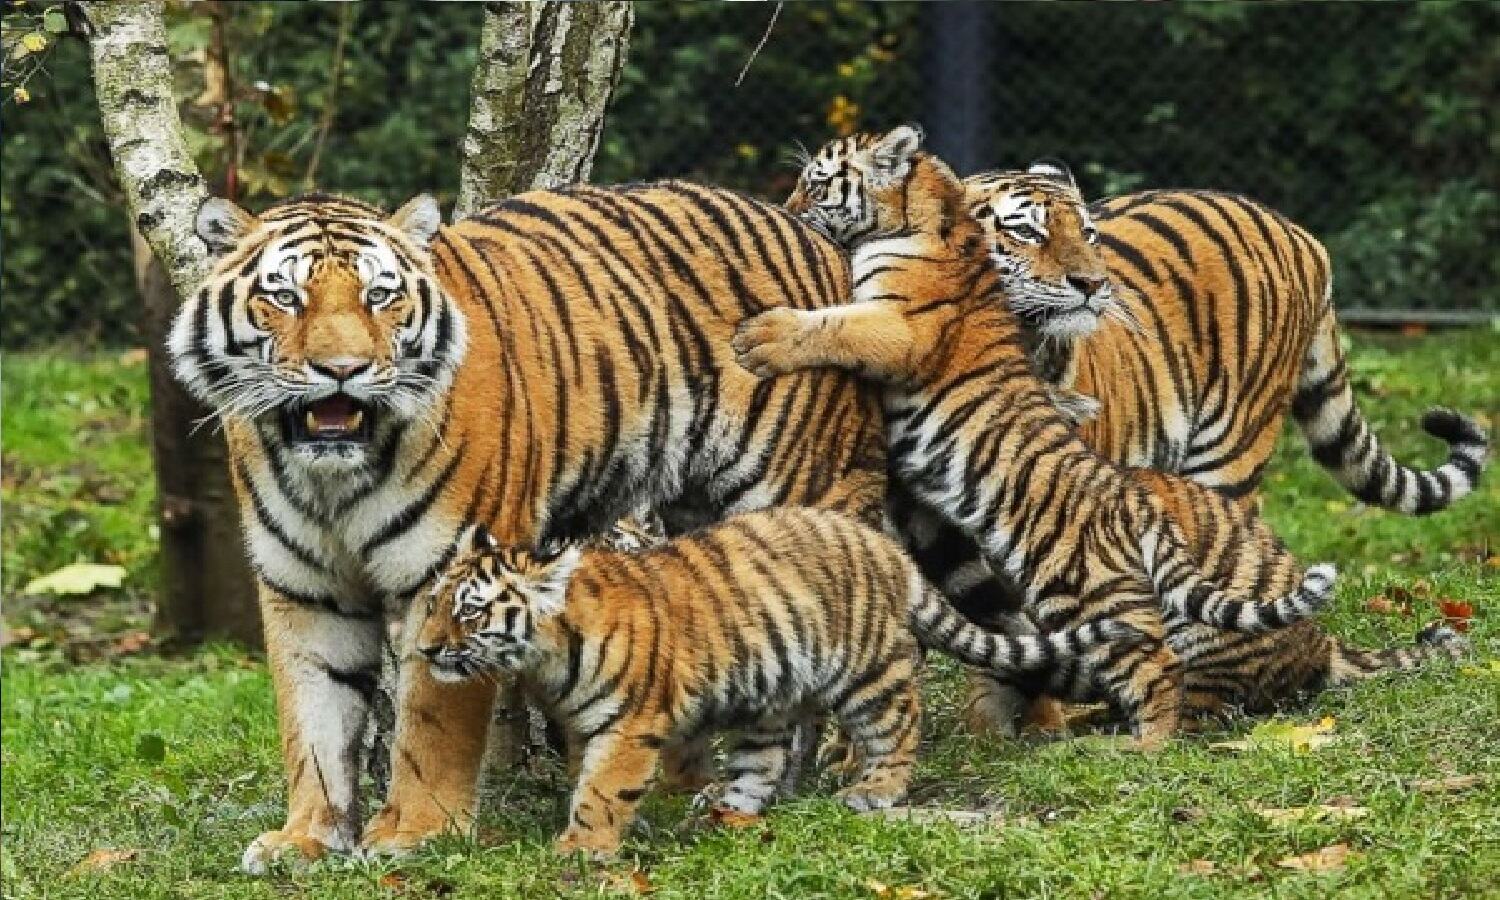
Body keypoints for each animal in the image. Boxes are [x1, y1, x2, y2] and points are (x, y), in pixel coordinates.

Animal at [168, 184, 900, 871]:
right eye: (285, 297)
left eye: (380, 297)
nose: (342, 371)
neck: (332, 481)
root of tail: (812, 235)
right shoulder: (306, 591)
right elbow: (314, 722)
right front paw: (306, 839)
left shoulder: (449, 569)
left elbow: (433, 720)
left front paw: (414, 833)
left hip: (803, 490)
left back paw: (825, 774)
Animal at [415, 509, 1142, 857]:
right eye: (436, 602)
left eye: (470, 612)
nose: (425, 649)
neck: (544, 657)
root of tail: (887, 549)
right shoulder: (582, 720)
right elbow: (587, 776)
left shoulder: (632, 723)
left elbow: (601, 788)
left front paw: (580, 849)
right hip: (769, 697)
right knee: (760, 764)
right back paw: (725, 811)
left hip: (866, 670)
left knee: (901, 717)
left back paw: (874, 789)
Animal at [732, 125, 1372, 750]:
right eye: (1025, 231)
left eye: (1085, 232)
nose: (1093, 283)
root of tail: (1300, 233)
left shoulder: (910, 338)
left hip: (1223, 463)